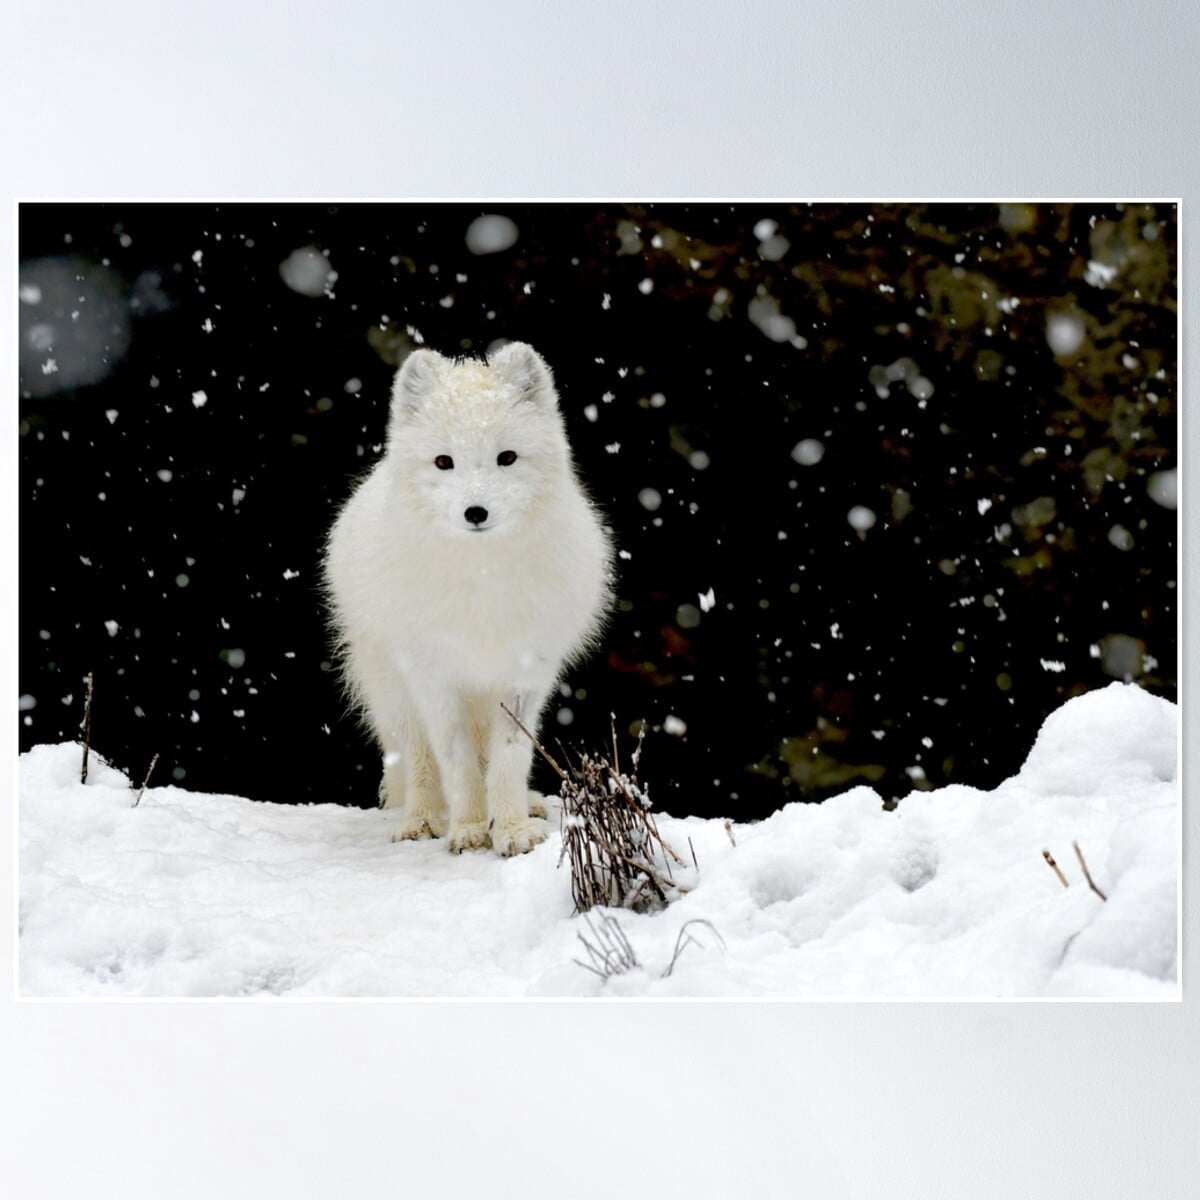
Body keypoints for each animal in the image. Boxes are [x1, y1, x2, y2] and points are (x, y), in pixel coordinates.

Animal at [323, 342, 612, 855]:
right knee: (417, 760)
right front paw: (471, 829)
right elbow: (455, 762)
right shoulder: (435, 676)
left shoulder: (524, 675)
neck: (481, 578)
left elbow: (508, 759)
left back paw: (528, 805)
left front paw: (513, 829)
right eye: (444, 462)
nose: (475, 512)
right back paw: (421, 821)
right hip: (395, 690)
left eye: (507, 457)